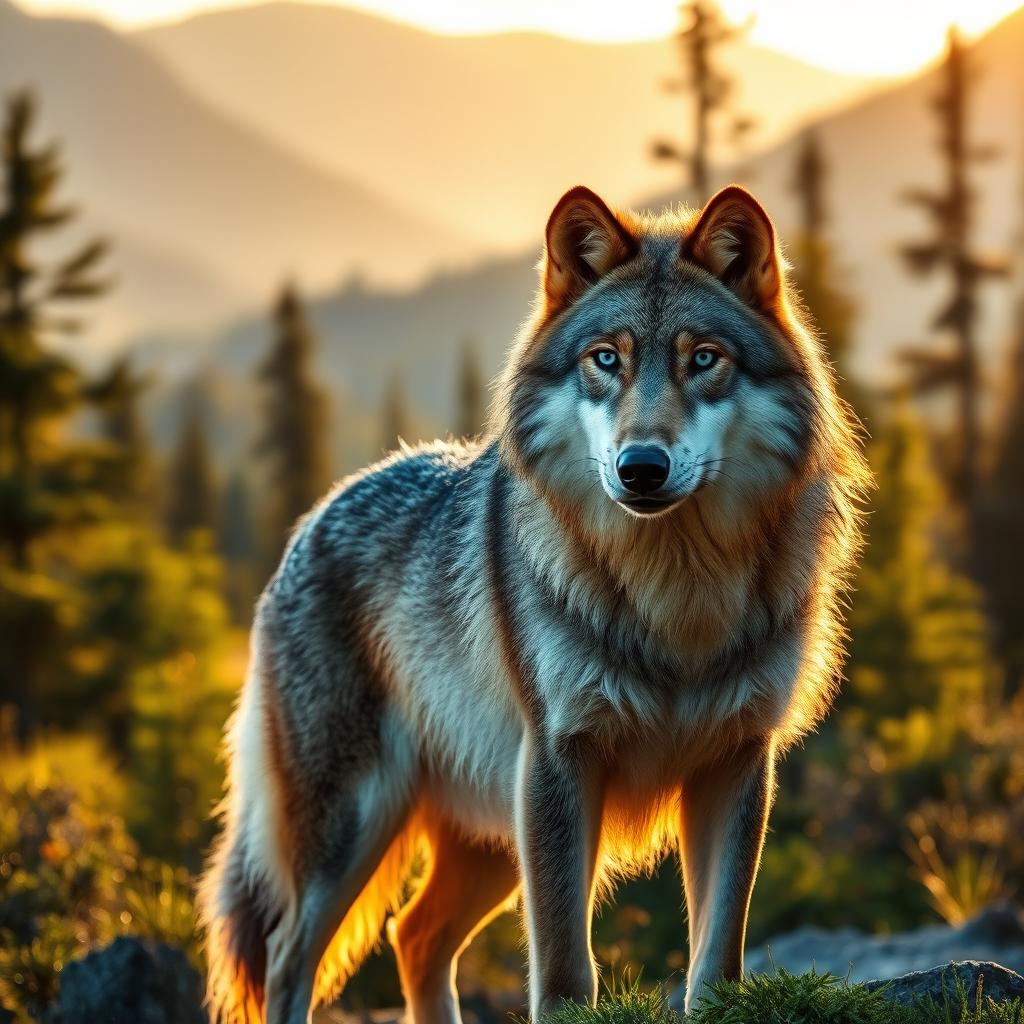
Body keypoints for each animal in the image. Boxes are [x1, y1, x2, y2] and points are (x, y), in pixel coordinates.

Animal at [199, 184, 868, 1024]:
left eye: (703, 359)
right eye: (606, 359)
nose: (640, 467)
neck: (676, 599)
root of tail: (314, 516)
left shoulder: (736, 761)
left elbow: (717, 955)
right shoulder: (559, 759)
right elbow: (565, 969)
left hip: (487, 835)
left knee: (414, 936)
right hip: (361, 826)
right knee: (292, 959)